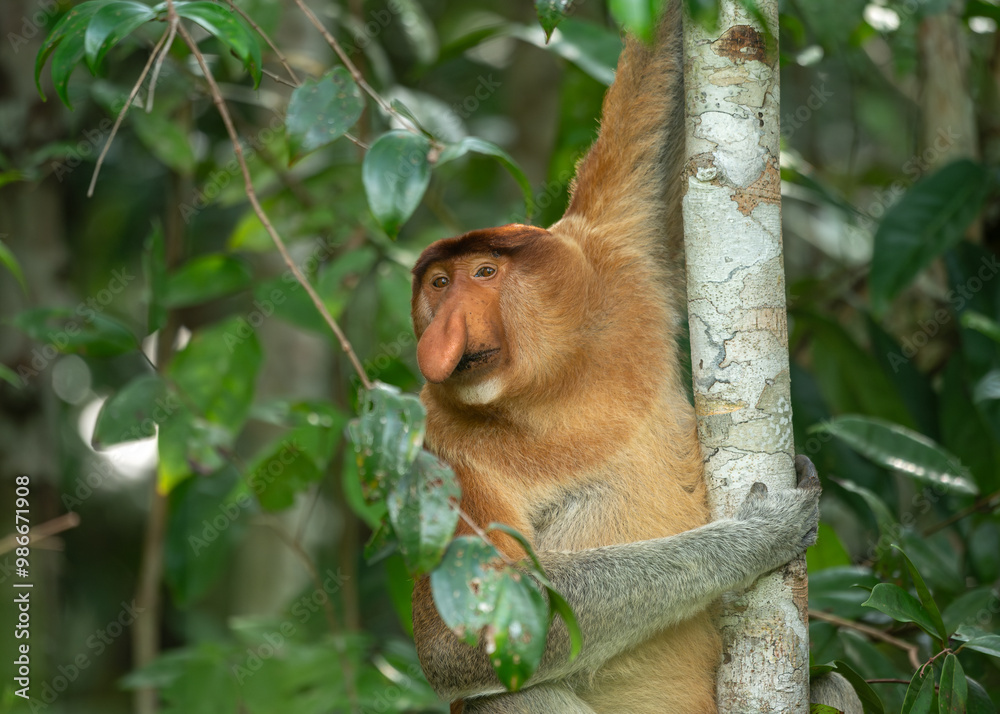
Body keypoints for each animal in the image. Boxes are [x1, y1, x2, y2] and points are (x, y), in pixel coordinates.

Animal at [407, 2, 822, 712]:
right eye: (438, 284)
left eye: (483, 272)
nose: (442, 337)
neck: (554, 385)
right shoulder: (442, 449)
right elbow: (464, 632)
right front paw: (759, 535)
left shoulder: (614, 255)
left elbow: (652, 113)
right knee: (507, 694)